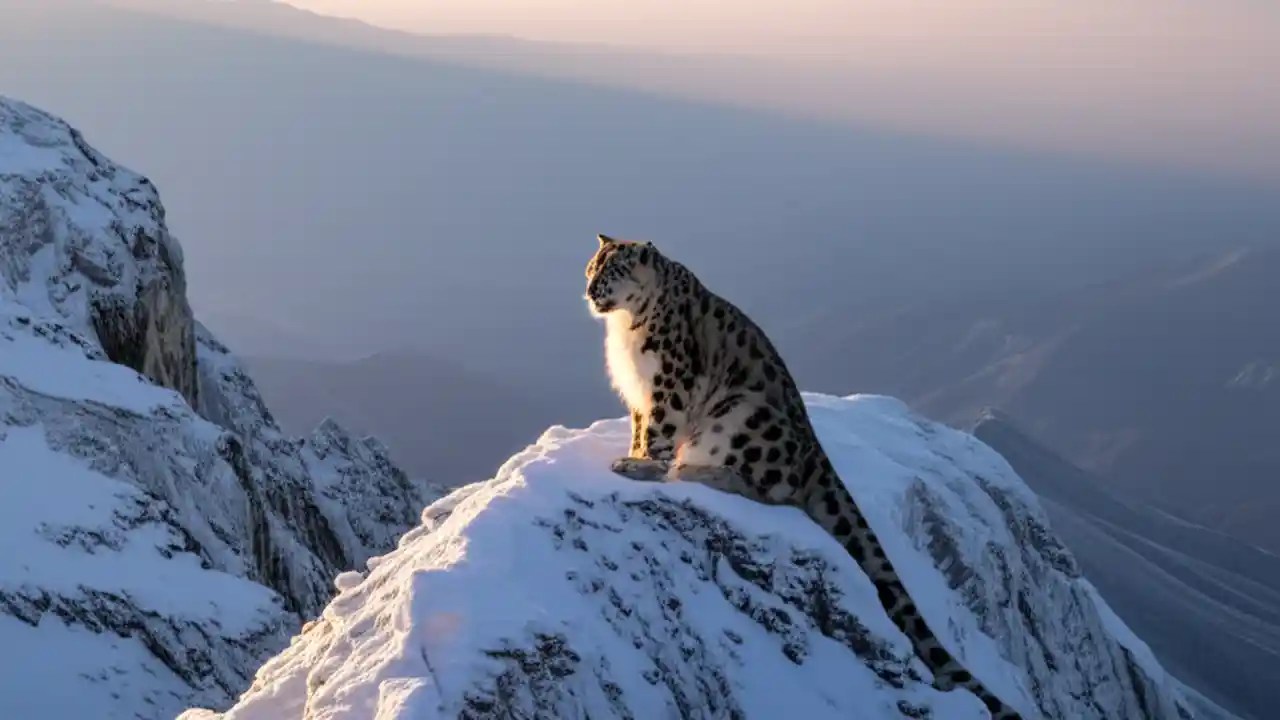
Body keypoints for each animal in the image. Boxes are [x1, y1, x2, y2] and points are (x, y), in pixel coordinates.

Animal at [585, 234, 1025, 720]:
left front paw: (640, 465)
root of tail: (815, 449)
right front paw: (632, 453)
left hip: (742, 417)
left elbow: (659, 434)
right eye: (591, 266)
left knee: (774, 488)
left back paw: (697, 469)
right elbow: (640, 429)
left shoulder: (669, 387)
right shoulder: (640, 398)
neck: (627, 329)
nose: (589, 291)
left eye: (612, 270)